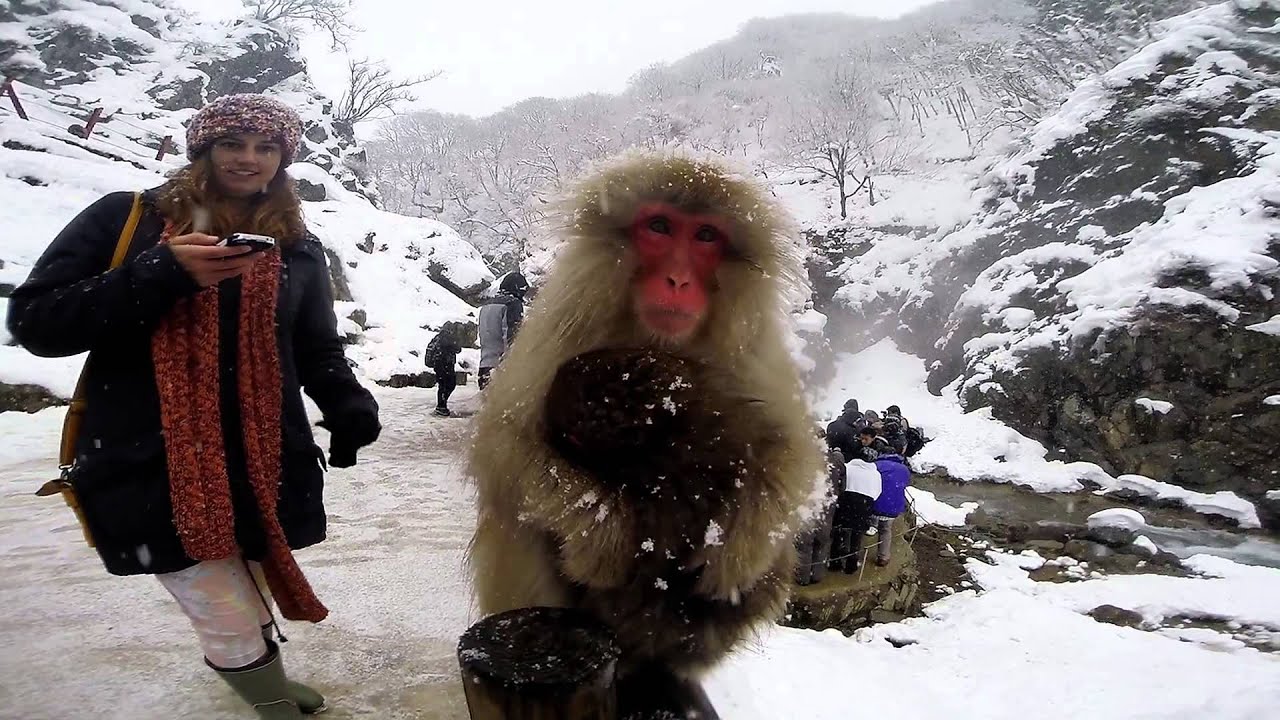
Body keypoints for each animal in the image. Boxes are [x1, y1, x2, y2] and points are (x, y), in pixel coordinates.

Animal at [465, 151, 825, 694]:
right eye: (659, 227)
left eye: (705, 236)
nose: (677, 280)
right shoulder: (569, 312)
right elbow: (505, 444)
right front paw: (603, 540)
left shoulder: (751, 339)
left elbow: (792, 448)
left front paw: (734, 553)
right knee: (516, 518)